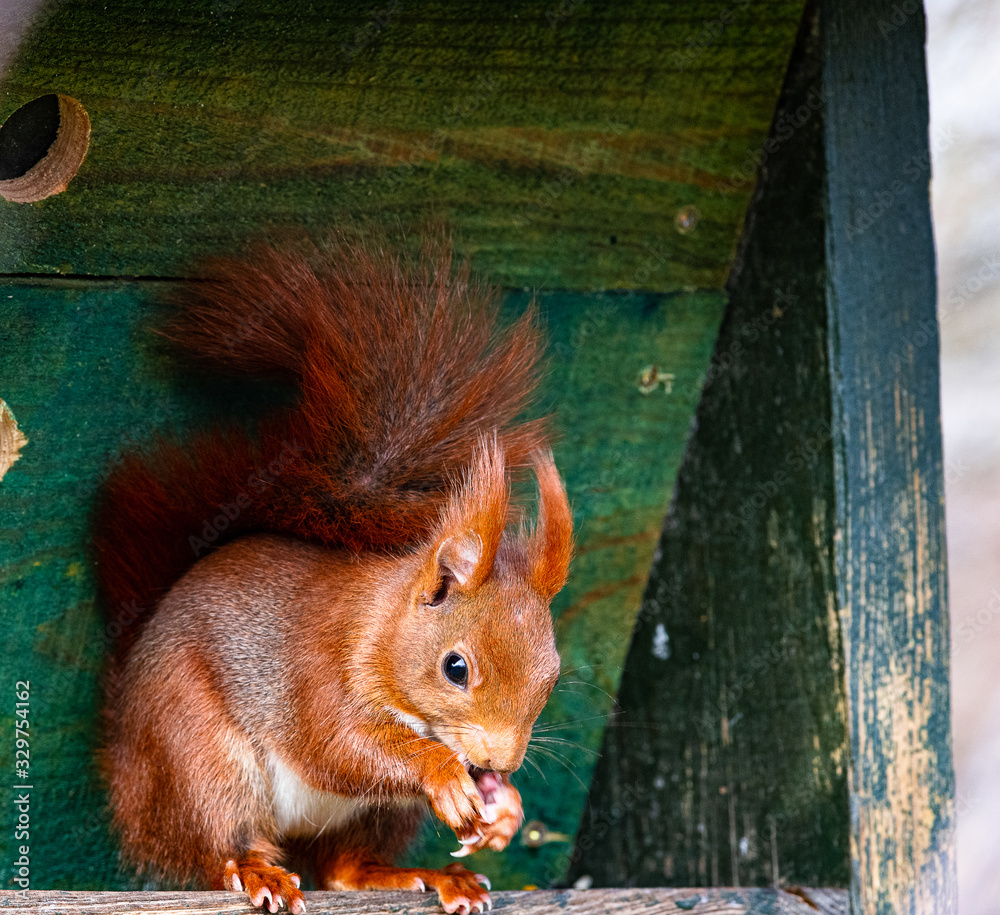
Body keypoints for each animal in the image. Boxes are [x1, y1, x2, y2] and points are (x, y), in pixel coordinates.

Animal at [94, 237, 573, 915]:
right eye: (455, 667)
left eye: (551, 674)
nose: (500, 762)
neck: (381, 628)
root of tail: (127, 771)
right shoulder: (316, 676)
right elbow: (337, 746)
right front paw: (445, 774)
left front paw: (503, 807)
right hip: (198, 754)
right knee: (218, 845)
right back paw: (258, 872)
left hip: (375, 815)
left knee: (343, 869)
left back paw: (422, 876)